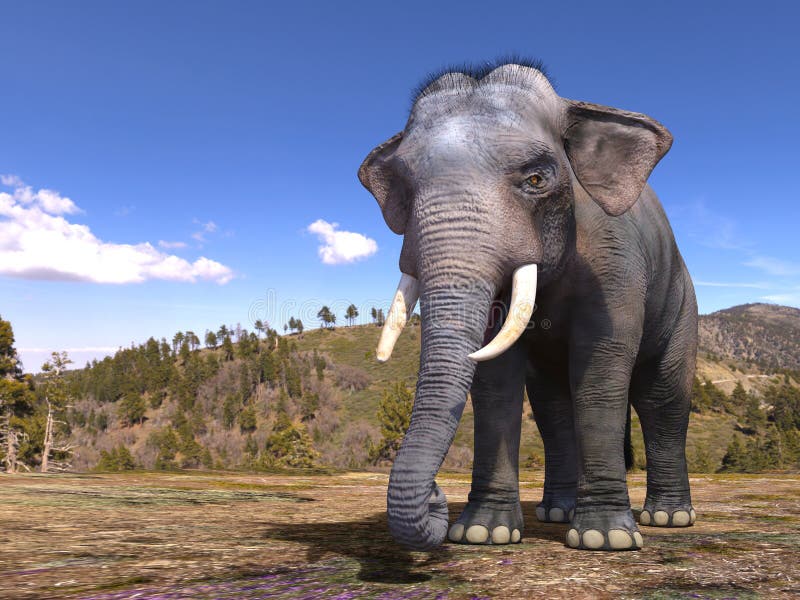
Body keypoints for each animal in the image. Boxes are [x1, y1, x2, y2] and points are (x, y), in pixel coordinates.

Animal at [358, 59, 697, 551]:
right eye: (404, 186)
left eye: (537, 179)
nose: (437, 497)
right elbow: (495, 379)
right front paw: (483, 534)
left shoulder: (617, 260)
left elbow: (601, 367)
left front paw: (606, 540)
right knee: (553, 408)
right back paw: (556, 513)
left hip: (681, 306)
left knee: (663, 398)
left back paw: (669, 518)